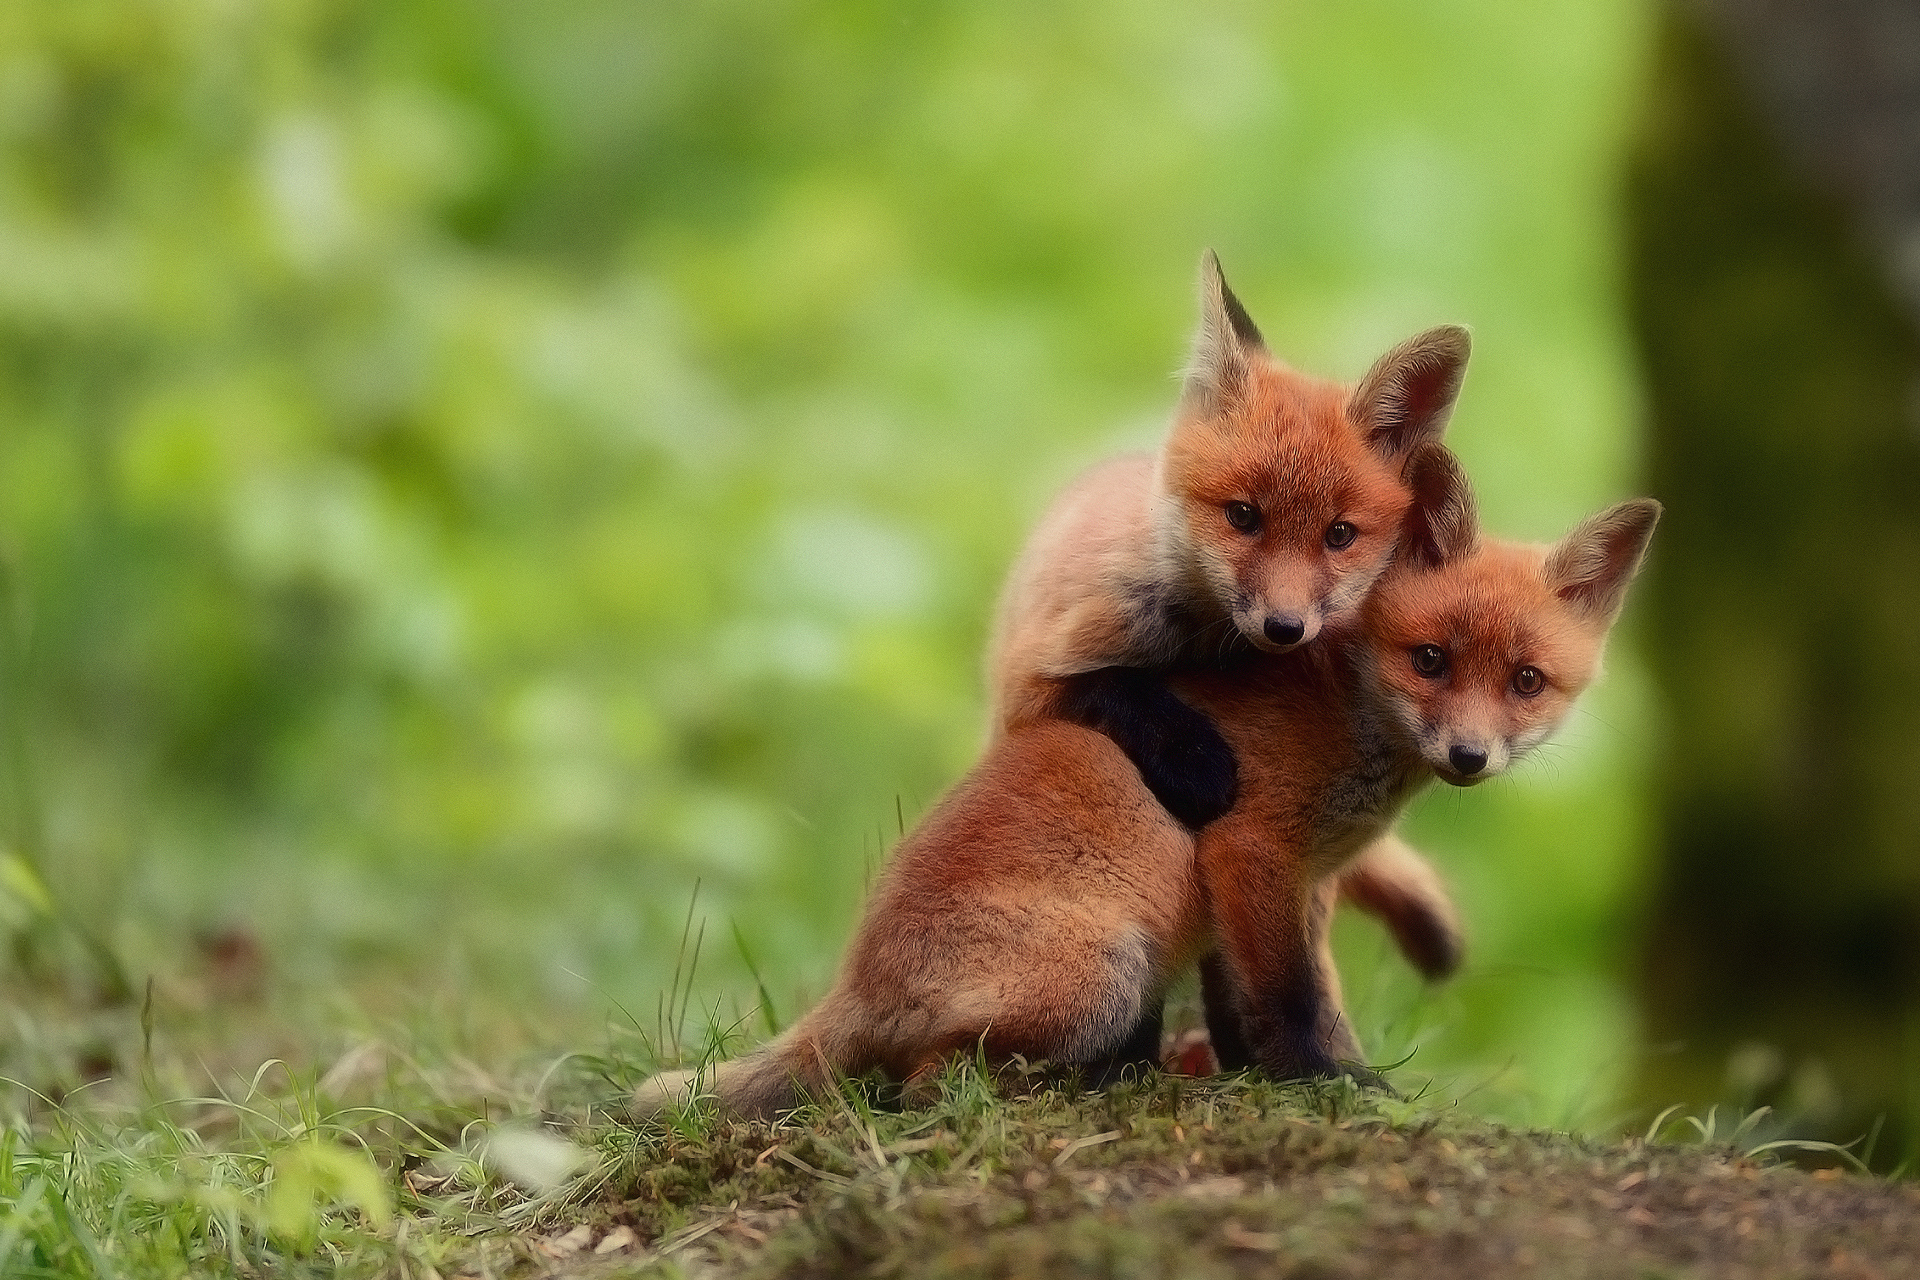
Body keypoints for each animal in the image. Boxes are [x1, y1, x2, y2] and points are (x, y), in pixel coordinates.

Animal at [633, 448, 1661, 1117]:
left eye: (1525, 681)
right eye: (1432, 660)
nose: (1469, 757)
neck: (1347, 711)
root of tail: (856, 978)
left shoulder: (1296, 885)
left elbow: (1271, 999)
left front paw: (1276, 1074)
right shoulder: (1250, 850)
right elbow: (1290, 1002)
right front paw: (1325, 1086)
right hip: (1109, 972)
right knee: (919, 1086)